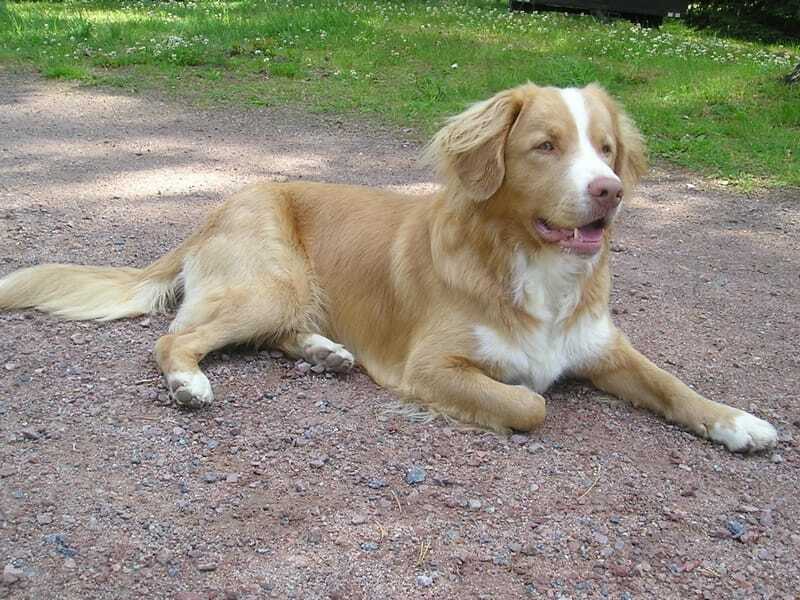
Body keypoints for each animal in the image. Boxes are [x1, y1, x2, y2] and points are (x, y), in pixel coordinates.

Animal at [0, 82, 776, 452]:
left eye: (607, 148)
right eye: (546, 146)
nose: (609, 192)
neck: (530, 265)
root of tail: (216, 207)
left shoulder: (605, 346)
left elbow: (674, 385)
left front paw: (738, 423)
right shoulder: (433, 366)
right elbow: (531, 403)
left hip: (288, 294)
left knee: (273, 333)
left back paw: (325, 352)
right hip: (272, 281)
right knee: (174, 338)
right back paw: (189, 382)